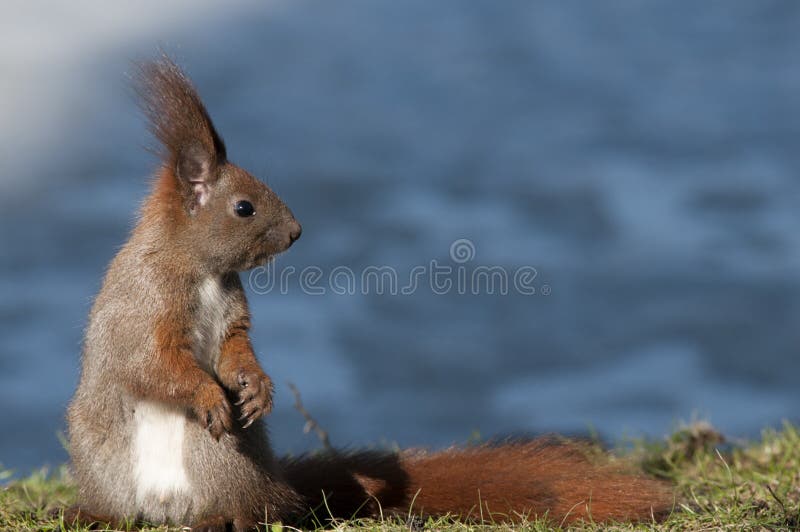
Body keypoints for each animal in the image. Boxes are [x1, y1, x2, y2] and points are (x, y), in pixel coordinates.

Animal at [64, 57, 673, 531]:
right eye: (243, 207)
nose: (297, 232)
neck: (202, 270)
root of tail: (166, 511)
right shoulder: (145, 306)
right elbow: (154, 362)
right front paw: (210, 393)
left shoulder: (232, 312)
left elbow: (237, 346)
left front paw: (256, 386)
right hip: (115, 455)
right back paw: (94, 513)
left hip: (226, 462)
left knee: (256, 509)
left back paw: (225, 515)